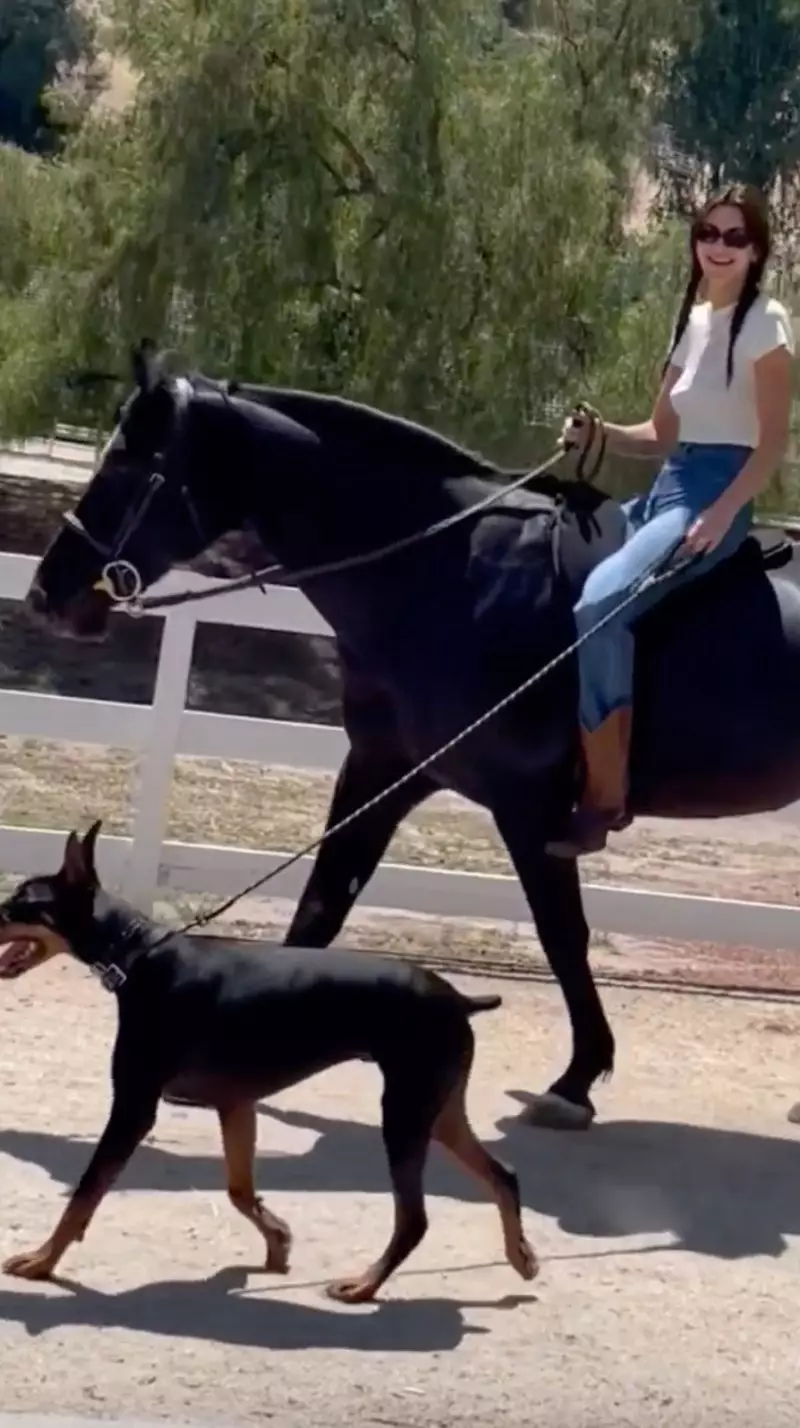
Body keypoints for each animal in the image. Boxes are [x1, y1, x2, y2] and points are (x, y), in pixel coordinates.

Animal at [0, 822, 537, 1302]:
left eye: (17, 902)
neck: (139, 958)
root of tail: (458, 999)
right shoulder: (236, 1105)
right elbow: (239, 1189)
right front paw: (278, 1242)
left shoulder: (135, 1105)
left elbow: (85, 1193)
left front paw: (41, 1261)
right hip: (438, 1108)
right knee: (503, 1174)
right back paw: (521, 1256)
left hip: (404, 1114)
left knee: (414, 1218)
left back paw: (364, 1286)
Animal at [25, 345, 800, 1125]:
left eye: (129, 469)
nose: (45, 595)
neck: (449, 572)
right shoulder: (384, 769)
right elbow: (322, 904)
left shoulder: (528, 808)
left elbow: (562, 937)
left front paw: (575, 1081)